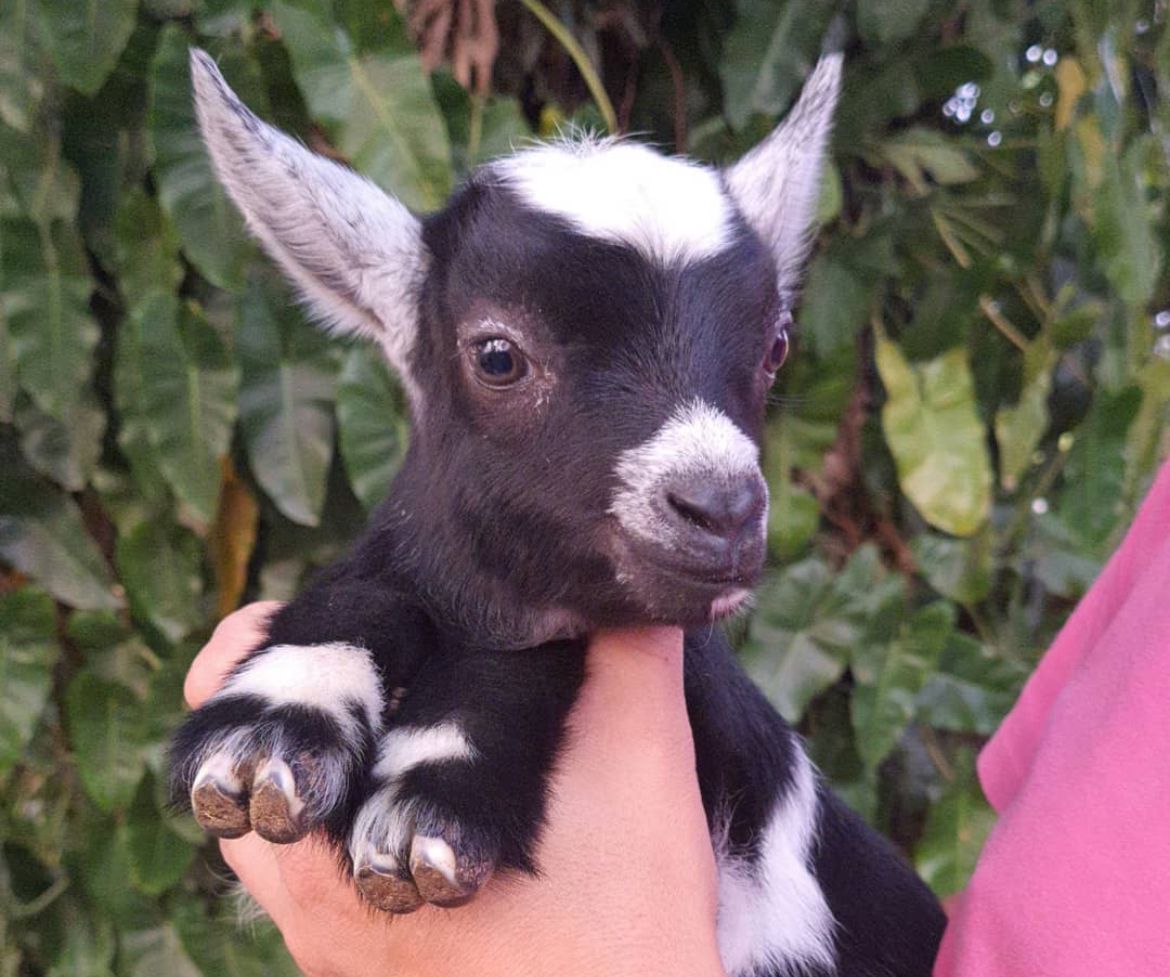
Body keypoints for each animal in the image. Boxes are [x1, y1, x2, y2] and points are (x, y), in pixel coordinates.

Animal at [170, 48, 946, 977]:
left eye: (776, 346)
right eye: (497, 355)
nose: (721, 509)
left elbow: (531, 656)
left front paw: (433, 799)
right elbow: (368, 589)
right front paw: (274, 726)